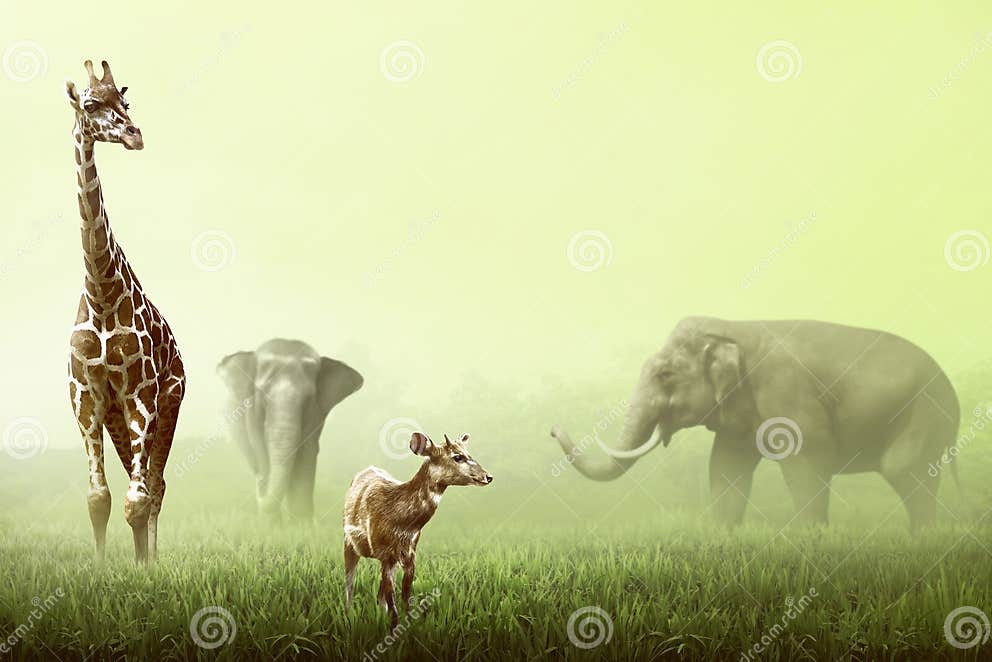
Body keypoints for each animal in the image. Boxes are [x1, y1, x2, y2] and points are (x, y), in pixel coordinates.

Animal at [217, 339, 364, 522]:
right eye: (263, 398)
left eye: (307, 400)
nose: (260, 493)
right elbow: (260, 448)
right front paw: (271, 525)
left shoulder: (316, 415)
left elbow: (307, 452)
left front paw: (301, 524)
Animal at [343, 431, 493, 629]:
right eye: (457, 457)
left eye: (469, 453)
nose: (488, 476)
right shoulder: (385, 553)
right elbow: (392, 599)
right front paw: (394, 629)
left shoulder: (410, 552)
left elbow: (406, 594)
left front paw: (411, 627)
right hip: (348, 541)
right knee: (349, 584)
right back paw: (347, 615)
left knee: (379, 593)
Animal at [550, 317, 960, 531]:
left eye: (665, 375)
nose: (552, 428)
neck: (731, 326)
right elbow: (725, 466)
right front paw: (722, 534)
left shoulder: (788, 392)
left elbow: (809, 455)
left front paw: (810, 537)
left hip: (925, 411)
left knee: (902, 467)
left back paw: (921, 539)